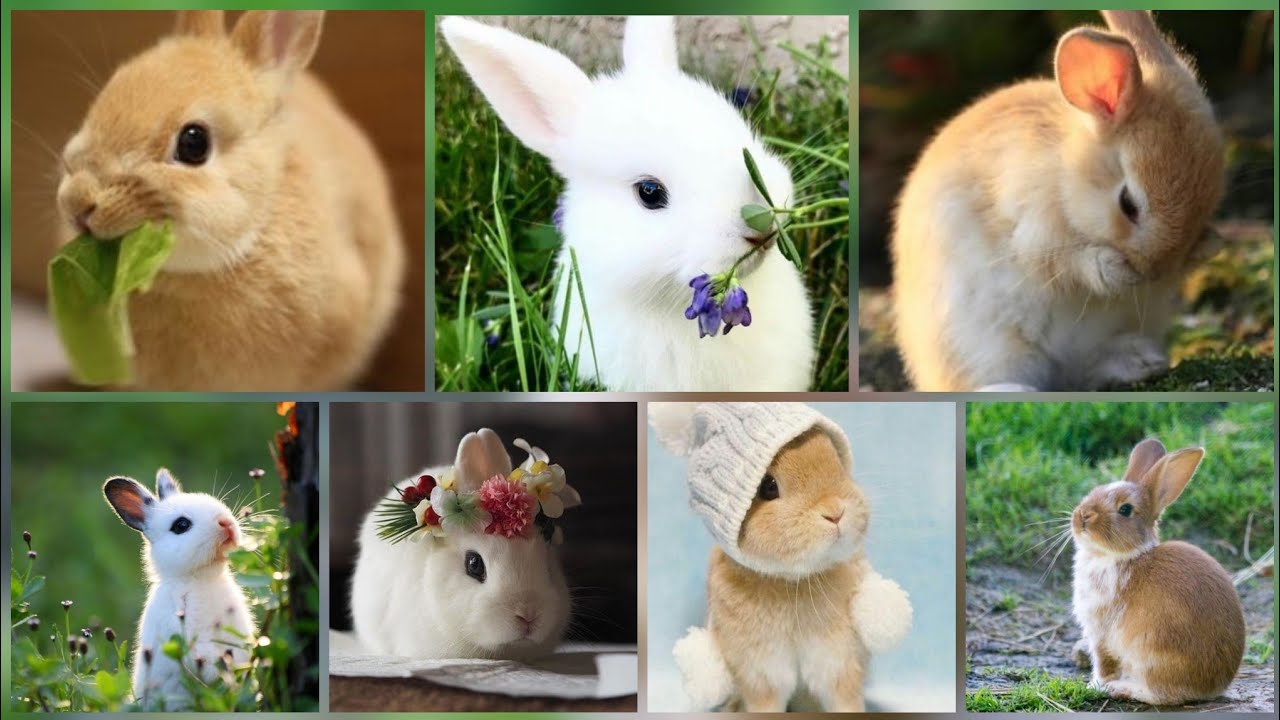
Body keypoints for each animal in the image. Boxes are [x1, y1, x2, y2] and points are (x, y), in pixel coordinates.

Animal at [652, 403, 912, 712]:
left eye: (836, 462)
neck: (792, 581)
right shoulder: (760, 672)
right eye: (768, 487)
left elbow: (845, 701)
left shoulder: (839, 661)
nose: (835, 512)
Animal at [890, 10, 1225, 391]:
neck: (1067, 171)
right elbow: (1068, 263)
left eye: (1207, 205)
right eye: (1127, 203)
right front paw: (1116, 271)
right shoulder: (1032, 229)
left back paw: (1141, 361)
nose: (1153, 271)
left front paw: (1211, 244)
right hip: (986, 343)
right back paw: (1011, 389)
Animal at [1070, 438, 1245, 705]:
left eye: (1125, 510)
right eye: (1096, 490)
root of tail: (1211, 686)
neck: (1124, 555)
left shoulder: (1101, 634)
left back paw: (1122, 689)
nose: (1082, 516)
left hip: (1152, 653)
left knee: (1159, 694)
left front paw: (1095, 686)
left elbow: (1103, 665)